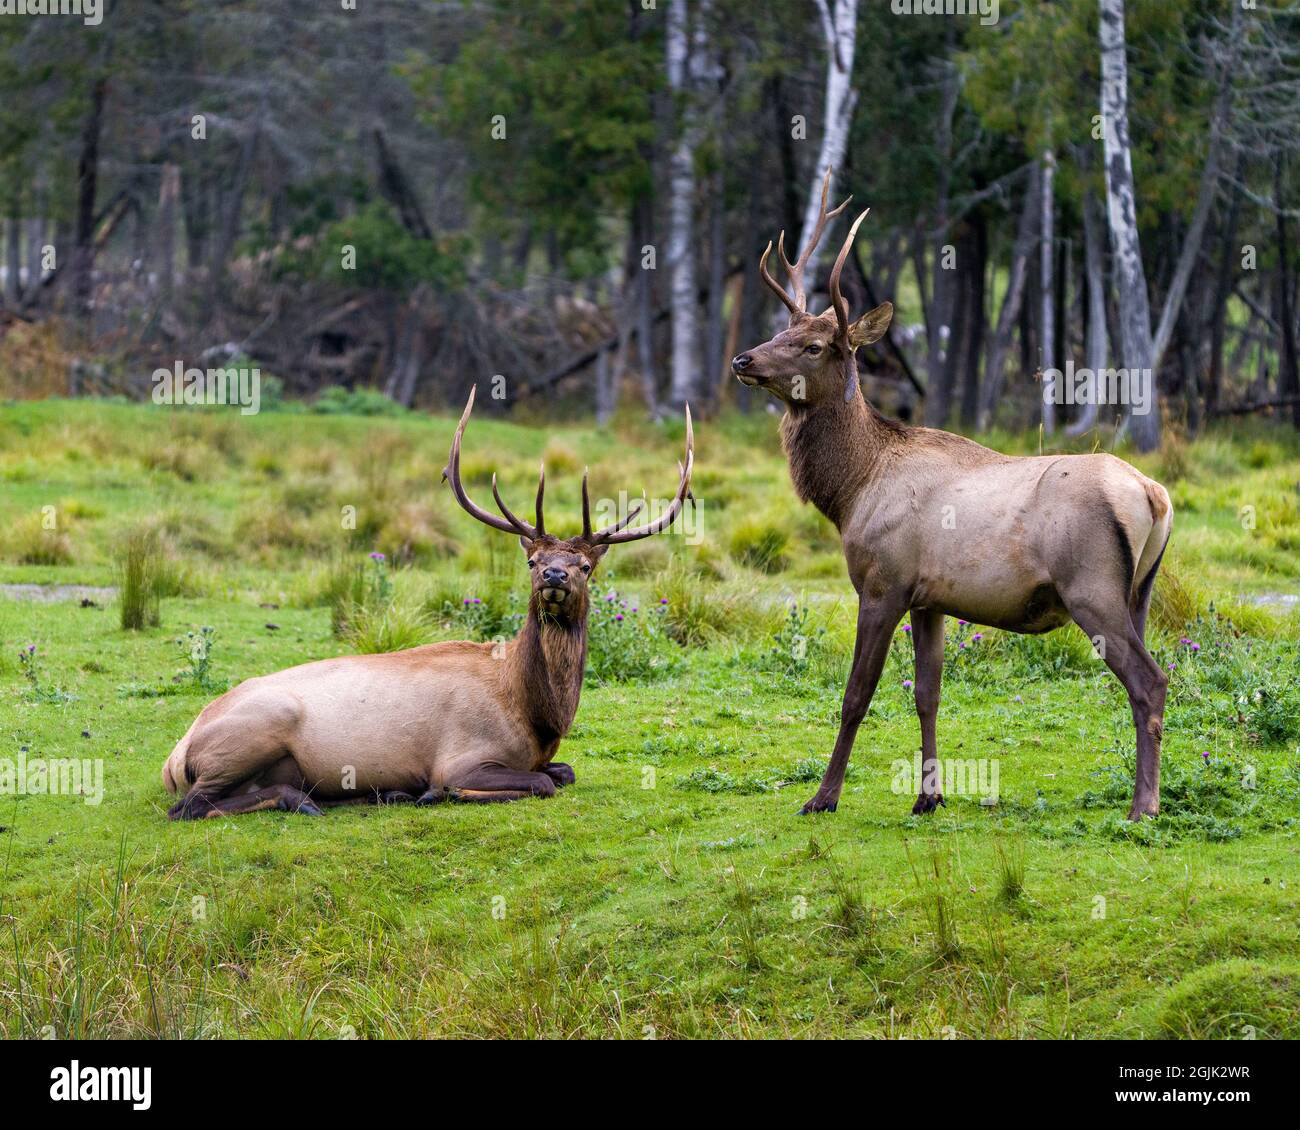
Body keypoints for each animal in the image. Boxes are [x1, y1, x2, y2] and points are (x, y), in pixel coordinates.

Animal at [161, 386, 693, 819]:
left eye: (585, 566)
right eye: (532, 560)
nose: (555, 575)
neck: (537, 716)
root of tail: (176, 754)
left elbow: (564, 772)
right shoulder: (462, 758)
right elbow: (539, 782)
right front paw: (435, 792)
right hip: (253, 732)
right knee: (189, 807)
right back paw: (316, 800)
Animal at [730, 169, 1173, 822]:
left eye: (814, 346)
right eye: (783, 329)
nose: (743, 359)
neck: (852, 491)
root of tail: (1155, 494)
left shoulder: (883, 582)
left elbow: (856, 695)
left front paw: (823, 797)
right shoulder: (930, 599)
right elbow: (928, 694)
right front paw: (928, 795)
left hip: (1091, 589)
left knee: (1150, 681)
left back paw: (1143, 807)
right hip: (1138, 594)